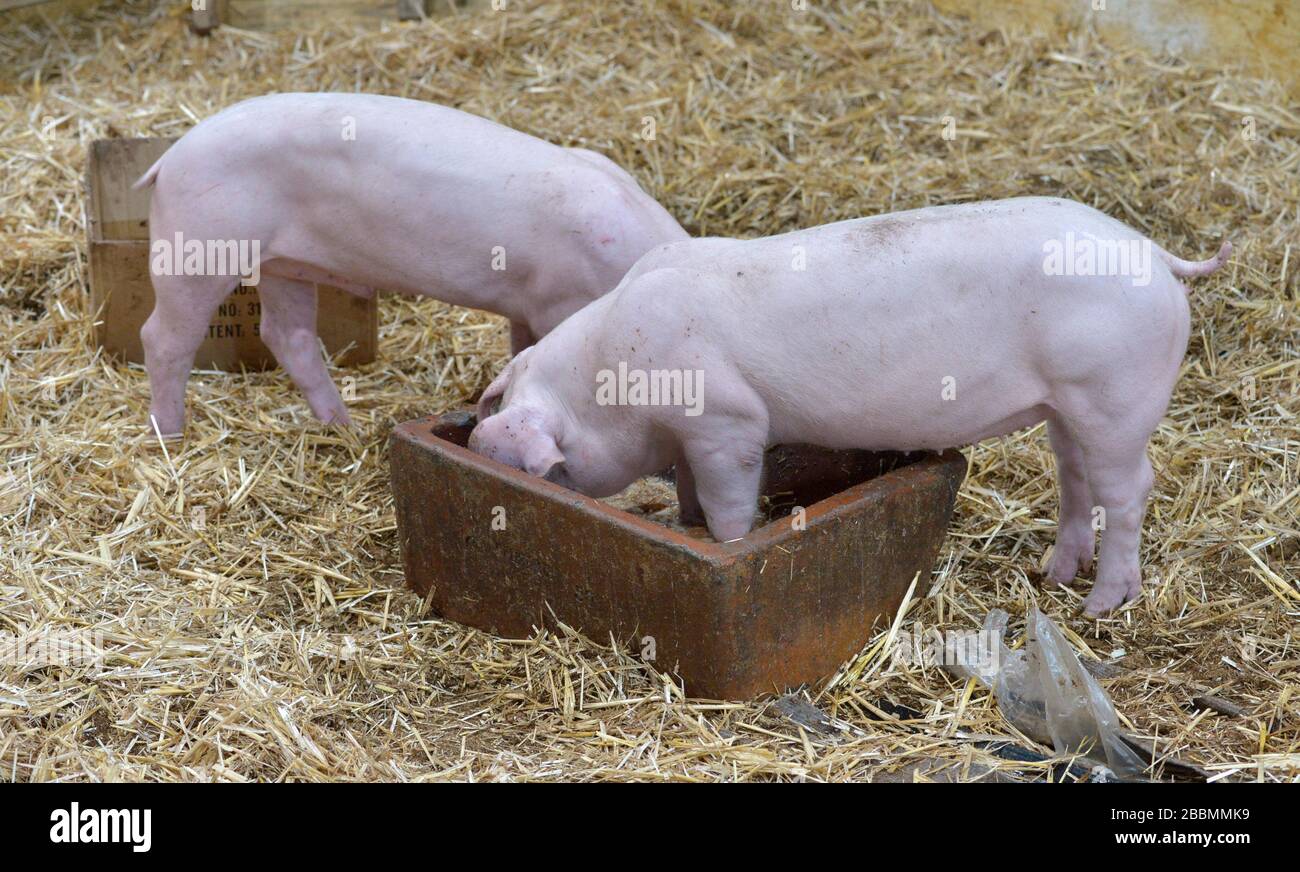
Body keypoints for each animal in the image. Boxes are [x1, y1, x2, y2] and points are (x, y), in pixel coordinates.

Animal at [132, 92, 687, 436]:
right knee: (162, 338)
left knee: (287, 336)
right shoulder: (559, 304)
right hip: (198, 248)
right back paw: (170, 435)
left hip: (281, 265)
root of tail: (170, 158)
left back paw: (343, 426)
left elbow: (520, 352)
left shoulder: (528, 310)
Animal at [469, 197, 1231, 615]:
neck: (616, 372)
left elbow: (726, 501)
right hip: (1067, 406)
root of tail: (1157, 255)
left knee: (1131, 489)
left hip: (1114, 395)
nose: (475, 446)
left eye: (549, 468)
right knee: (1076, 480)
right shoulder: (690, 435)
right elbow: (688, 491)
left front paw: (726, 543)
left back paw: (1102, 606)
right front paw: (683, 522)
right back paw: (1053, 574)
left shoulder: (727, 422)